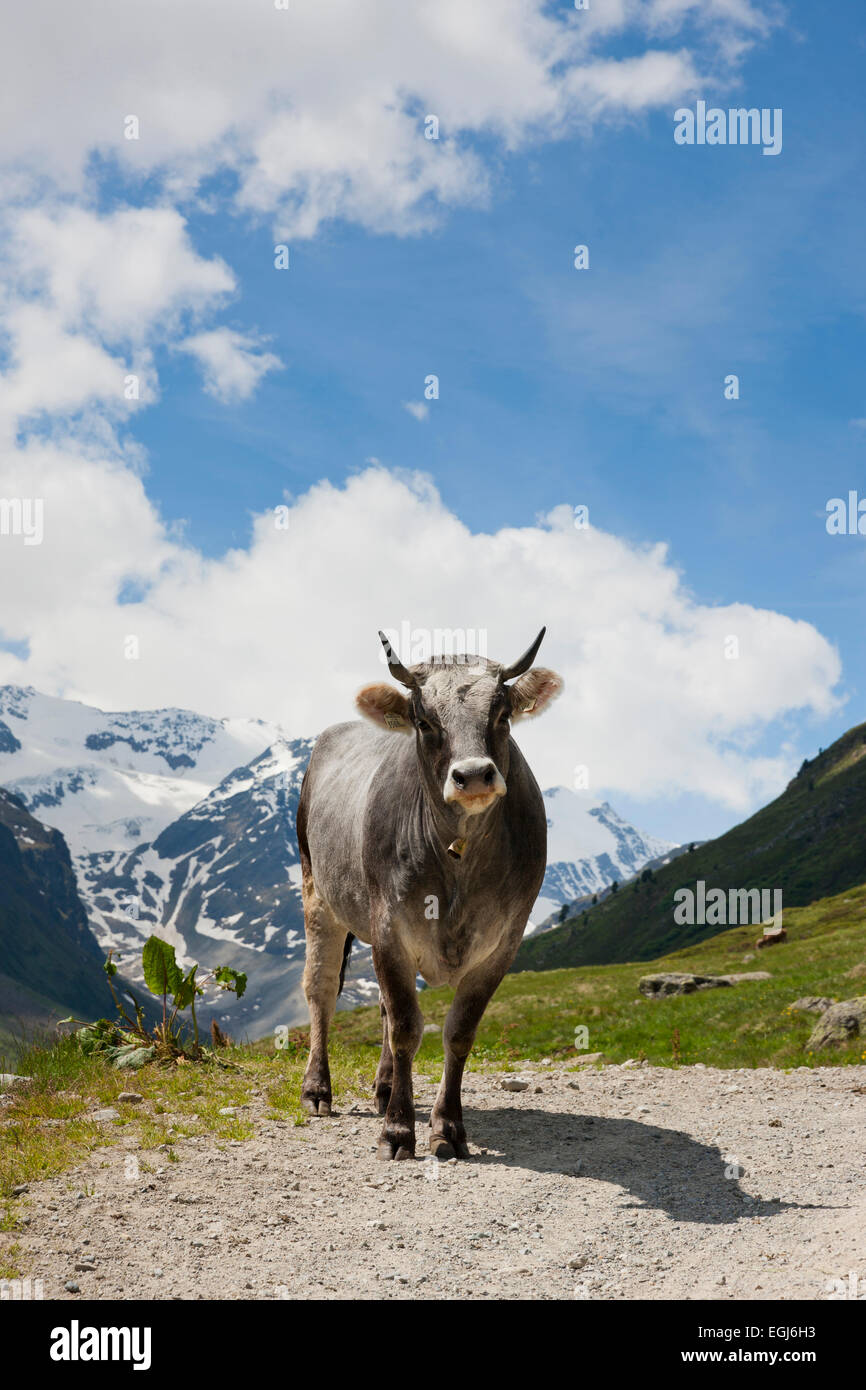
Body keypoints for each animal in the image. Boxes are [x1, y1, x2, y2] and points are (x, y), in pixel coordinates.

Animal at [296, 628, 563, 1160]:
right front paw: (399, 1131)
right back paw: (318, 1089)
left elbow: (457, 1032)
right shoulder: (389, 928)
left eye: (502, 715)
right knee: (321, 989)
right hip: (318, 893)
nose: (473, 775)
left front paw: (448, 1128)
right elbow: (405, 1027)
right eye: (423, 722)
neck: (459, 857)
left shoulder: (502, 945)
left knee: (380, 1006)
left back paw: (383, 1089)